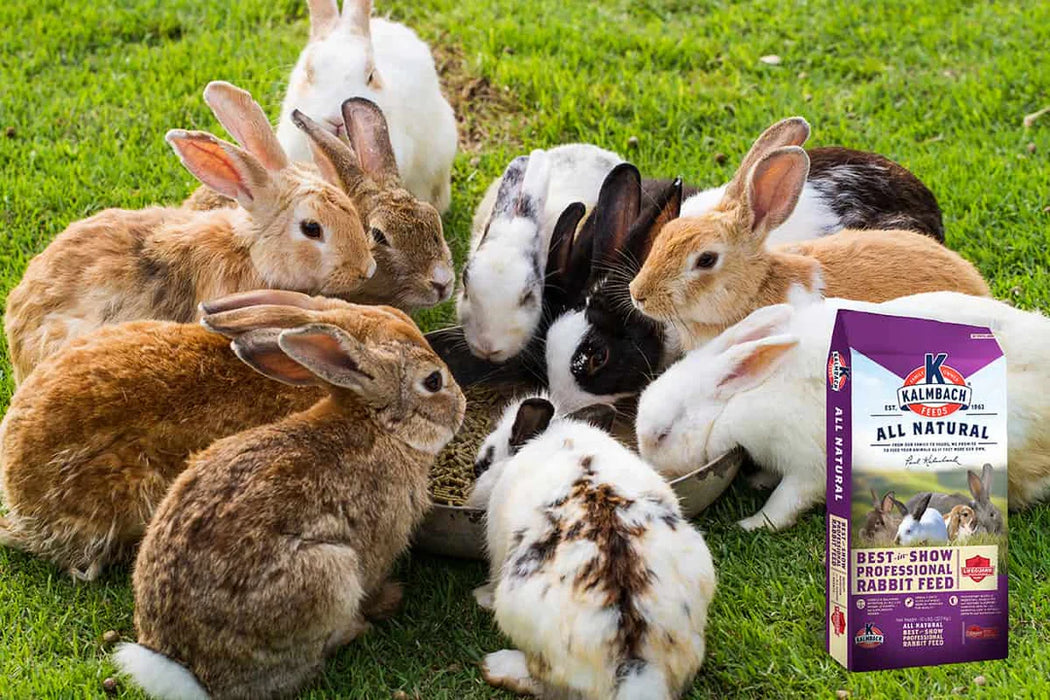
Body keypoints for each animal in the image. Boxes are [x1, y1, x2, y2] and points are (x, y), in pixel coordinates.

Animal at [113, 303, 466, 700]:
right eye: (433, 382)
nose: (463, 403)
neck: (382, 427)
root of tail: (188, 669)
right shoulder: (381, 542)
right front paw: (386, 600)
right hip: (329, 573)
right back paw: (357, 628)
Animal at [476, 397, 716, 700]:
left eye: (484, 462)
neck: (558, 437)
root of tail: (635, 668)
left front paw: (481, 597)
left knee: (542, 682)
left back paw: (495, 666)